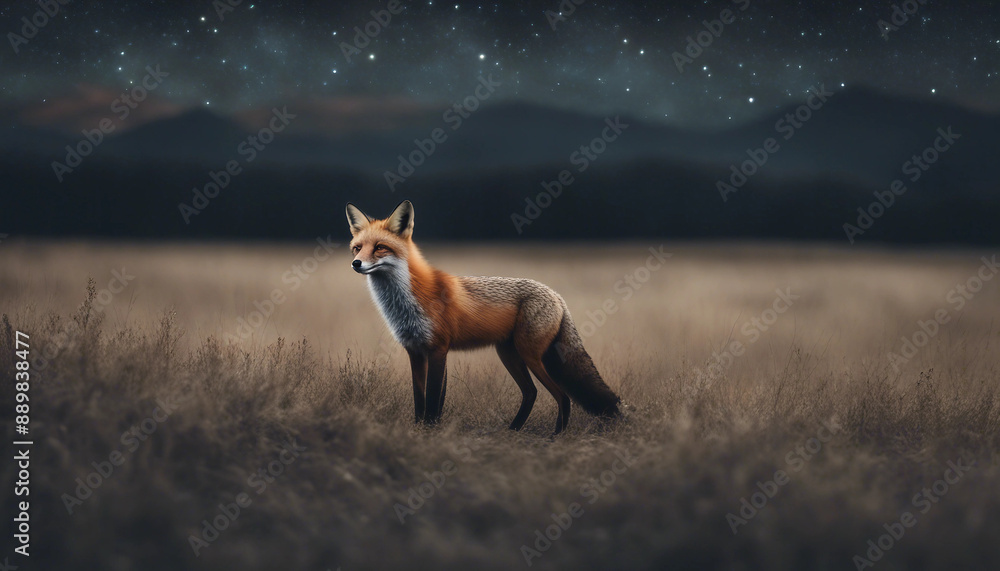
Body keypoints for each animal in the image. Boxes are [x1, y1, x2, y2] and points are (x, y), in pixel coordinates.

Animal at [346, 200, 621, 435]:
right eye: (357, 248)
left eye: (380, 247)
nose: (356, 263)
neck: (405, 303)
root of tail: (557, 295)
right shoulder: (415, 352)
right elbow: (421, 401)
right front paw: (419, 431)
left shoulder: (438, 349)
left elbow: (433, 401)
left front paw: (430, 434)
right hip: (509, 355)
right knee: (531, 393)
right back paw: (513, 432)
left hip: (531, 355)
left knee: (562, 396)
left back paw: (556, 437)